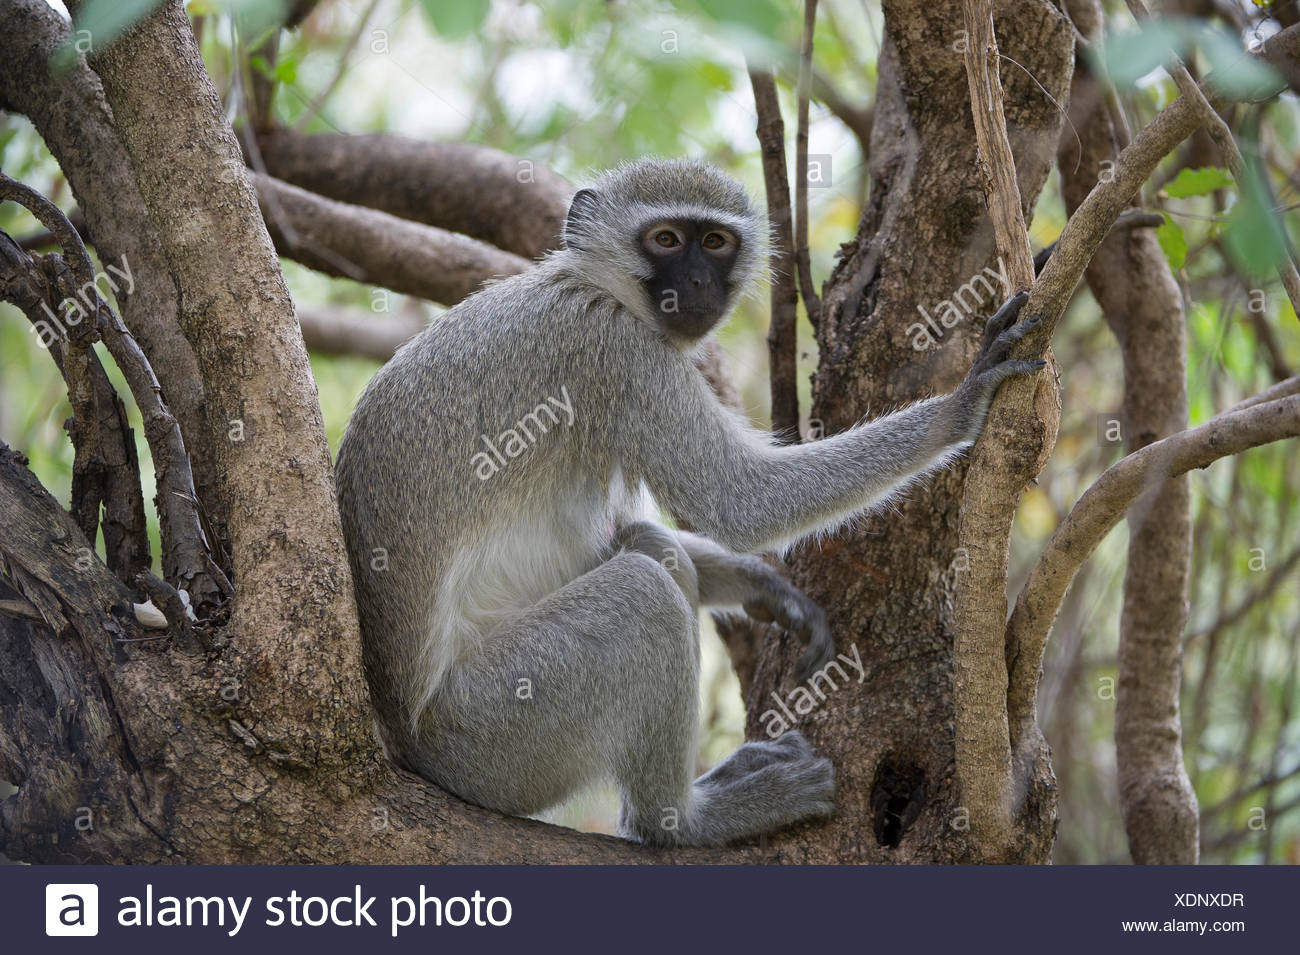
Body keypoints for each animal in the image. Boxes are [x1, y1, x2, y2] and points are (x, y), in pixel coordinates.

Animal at [334, 158, 1044, 847]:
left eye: (717, 242)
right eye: (667, 240)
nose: (699, 282)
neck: (592, 284)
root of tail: (406, 744)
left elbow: (654, 524)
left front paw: (762, 587)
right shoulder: (617, 352)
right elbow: (740, 501)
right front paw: (962, 405)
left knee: (651, 547)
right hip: (487, 733)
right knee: (643, 595)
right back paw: (682, 820)